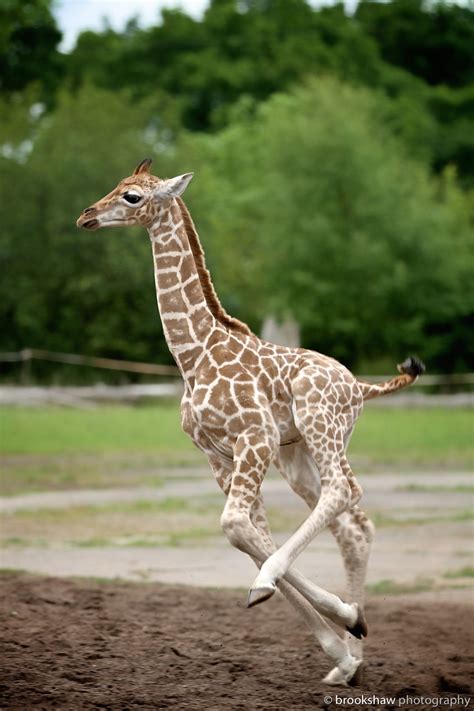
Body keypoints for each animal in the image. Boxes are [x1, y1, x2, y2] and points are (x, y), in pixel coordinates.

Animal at [77, 159, 425, 686]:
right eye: (117, 186)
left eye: (132, 196)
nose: (87, 216)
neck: (192, 353)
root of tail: (359, 387)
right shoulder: (218, 455)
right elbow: (252, 535)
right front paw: (342, 642)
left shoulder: (252, 437)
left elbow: (237, 527)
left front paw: (273, 591)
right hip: (296, 453)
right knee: (353, 525)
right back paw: (352, 656)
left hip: (318, 423)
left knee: (343, 492)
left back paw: (349, 630)